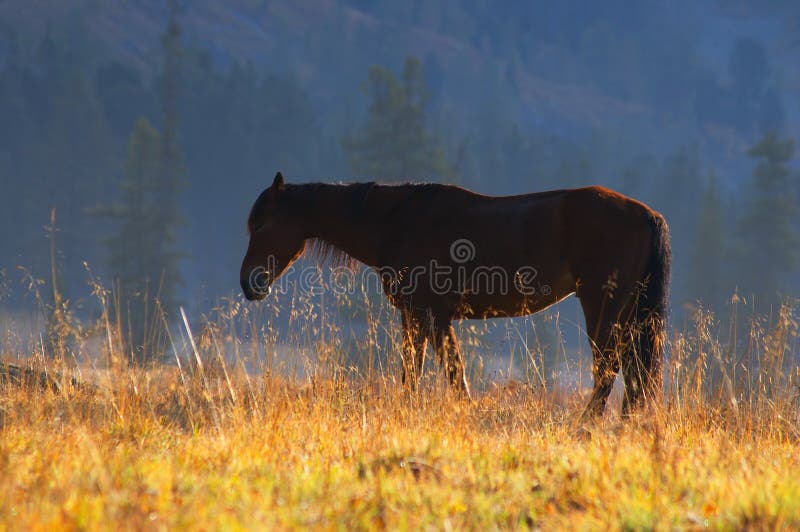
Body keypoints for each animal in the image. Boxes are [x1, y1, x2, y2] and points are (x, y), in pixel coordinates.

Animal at [240, 172, 670, 419]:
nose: (249, 282)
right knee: (634, 376)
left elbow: (452, 373)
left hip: (602, 307)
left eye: (262, 224)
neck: (395, 221)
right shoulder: (414, 316)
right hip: (629, 313)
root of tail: (649, 215)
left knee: (608, 371)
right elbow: (412, 373)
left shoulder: (434, 315)